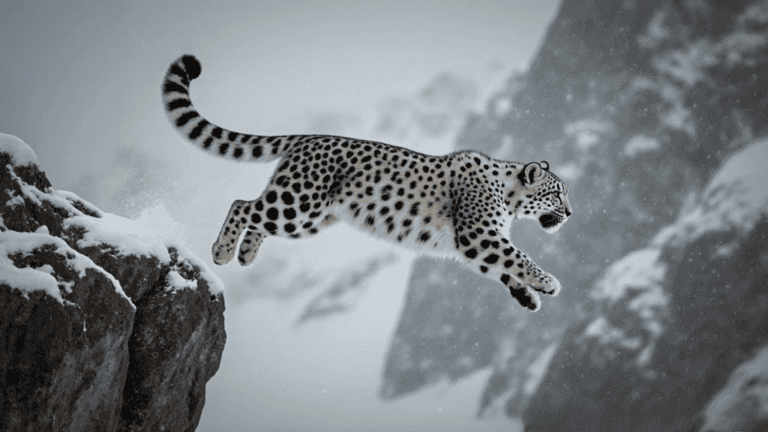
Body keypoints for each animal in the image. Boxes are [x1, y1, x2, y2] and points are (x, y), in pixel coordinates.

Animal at [162, 54, 573, 311]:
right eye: (556, 193)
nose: (570, 213)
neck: (509, 196)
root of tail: (310, 136)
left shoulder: (467, 244)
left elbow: (502, 268)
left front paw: (529, 297)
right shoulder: (479, 234)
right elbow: (516, 257)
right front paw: (548, 282)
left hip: (307, 219)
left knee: (257, 214)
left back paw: (246, 253)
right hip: (297, 203)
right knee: (242, 205)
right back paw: (222, 251)